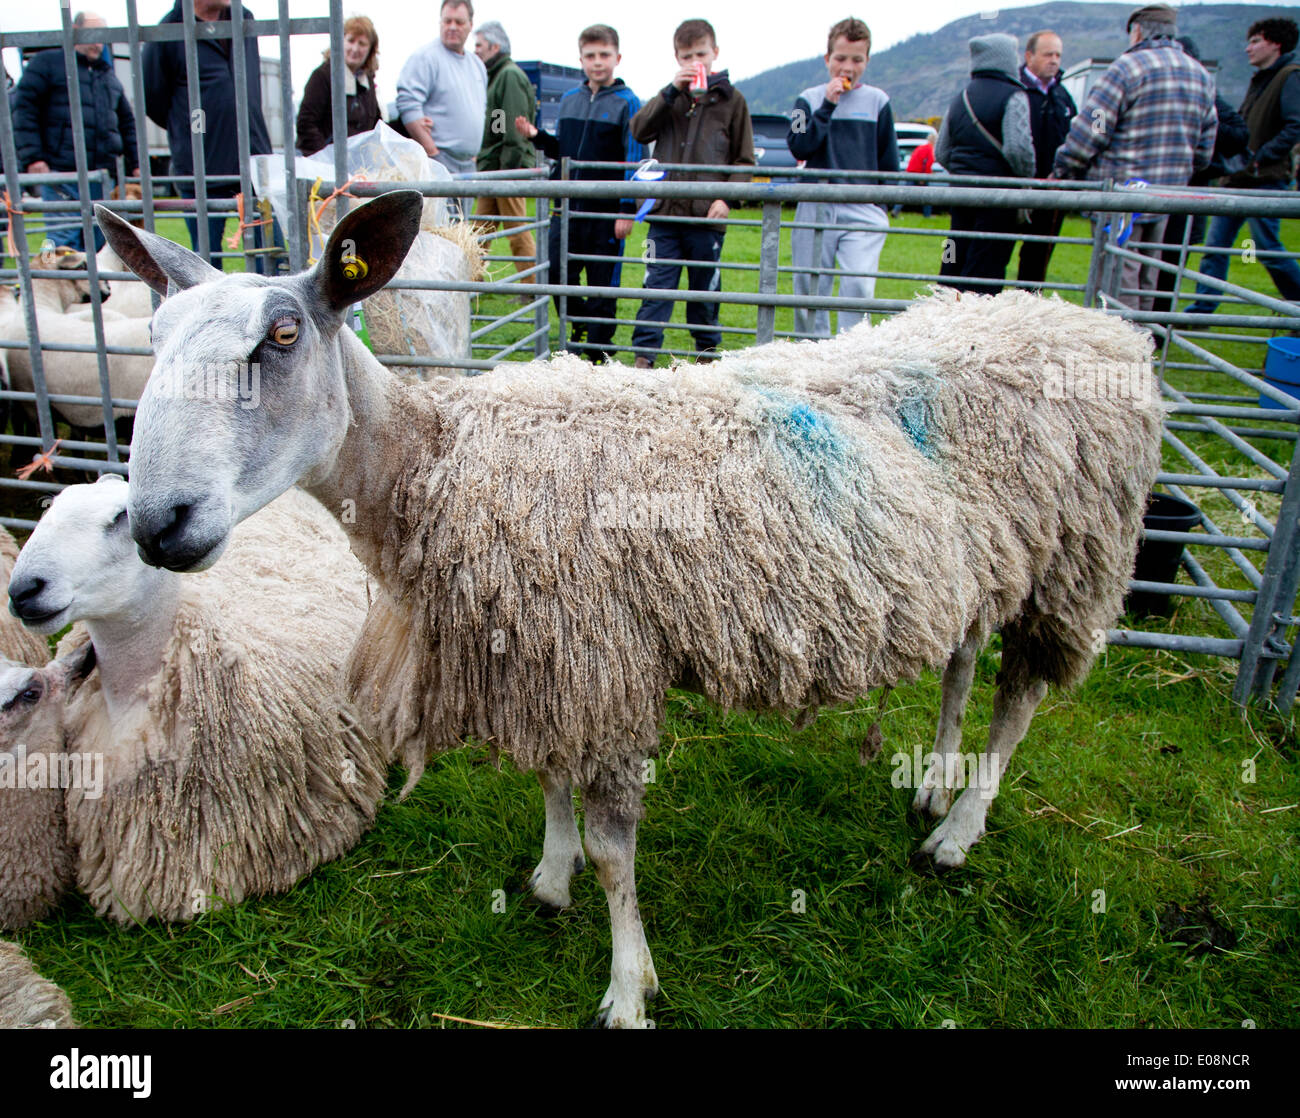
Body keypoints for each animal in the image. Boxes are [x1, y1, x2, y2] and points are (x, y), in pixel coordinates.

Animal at [99, 191, 1164, 1027]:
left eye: (281, 336)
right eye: (149, 339)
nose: (160, 523)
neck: (435, 467)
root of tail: (1097, 327)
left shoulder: (602, 658)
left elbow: (618, 851)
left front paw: (625, 987)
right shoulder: (546, 652)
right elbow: (549, 782)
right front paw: (550, 876)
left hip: (1074, 556)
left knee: (1019, 699)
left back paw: (957, 832)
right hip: (984, 564)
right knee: (961, 661)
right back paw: (936, 784)